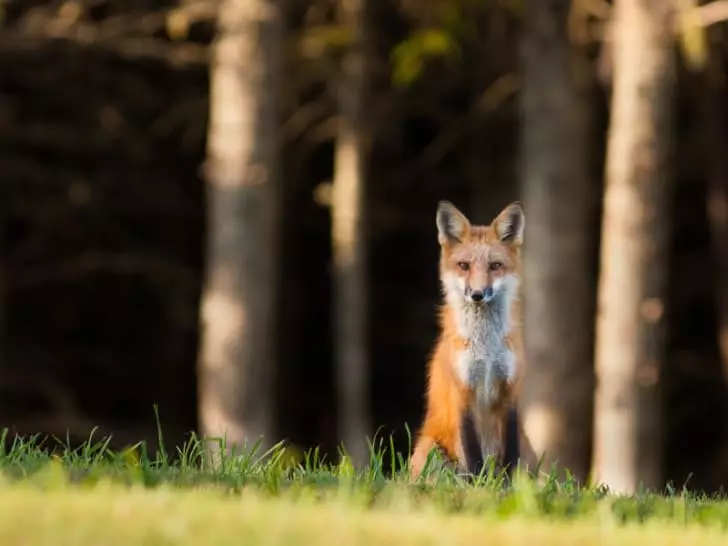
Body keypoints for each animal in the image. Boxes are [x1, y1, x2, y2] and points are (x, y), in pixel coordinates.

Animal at [410, 199, 524, 476]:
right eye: (464, 266)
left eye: (495, 266)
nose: (477, 294)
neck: (486, 349)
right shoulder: (463, 390)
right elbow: (472, 454)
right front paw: (479, 483)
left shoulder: (511, 388)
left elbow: (512, 453)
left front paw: (512, 483)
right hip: (431, 449)